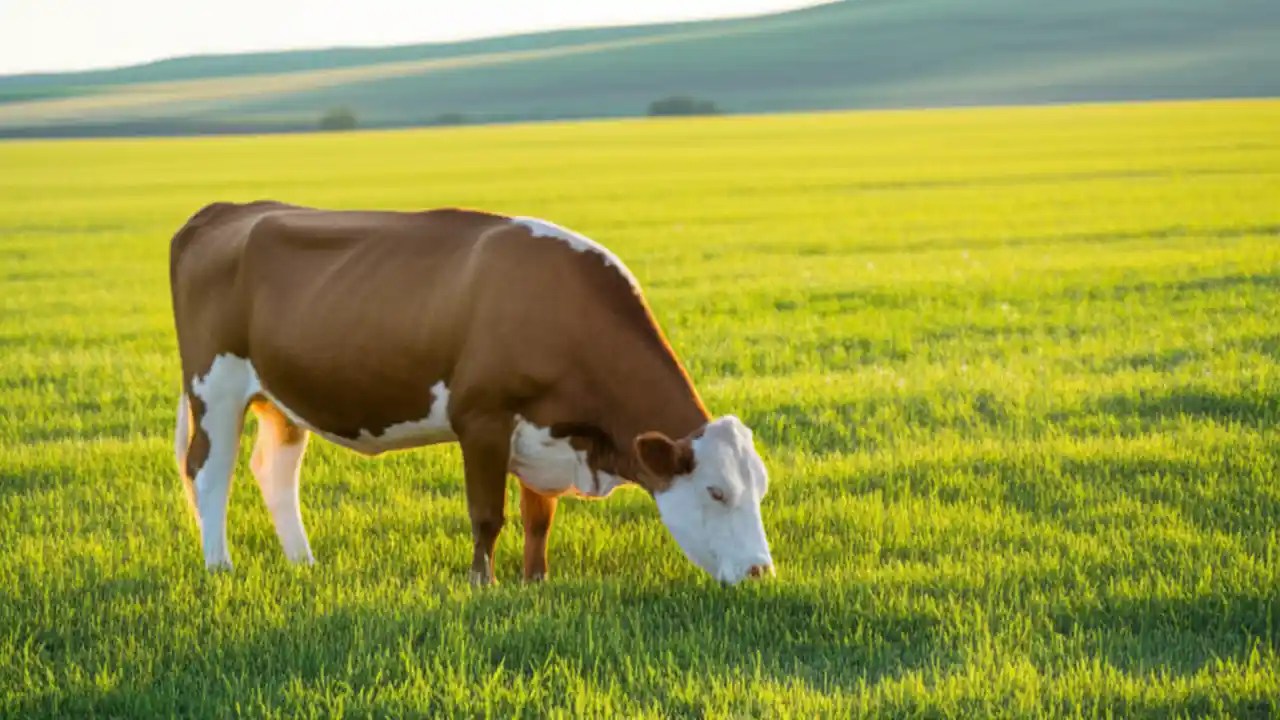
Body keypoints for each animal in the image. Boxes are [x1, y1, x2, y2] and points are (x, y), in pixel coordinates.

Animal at [170, 201, 774, 585]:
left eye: (761, 490)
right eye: (717, 492)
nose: (760, 571)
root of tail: (224, 210)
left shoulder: (545, 431)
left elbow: (538, 516)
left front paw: (536, 581)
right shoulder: (482, 418)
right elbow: (488, 515)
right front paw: (482, 583)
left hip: (281, 397)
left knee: (275, 470)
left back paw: (303, 563)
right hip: (215, 387)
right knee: (210, 471)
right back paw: (219, 567)